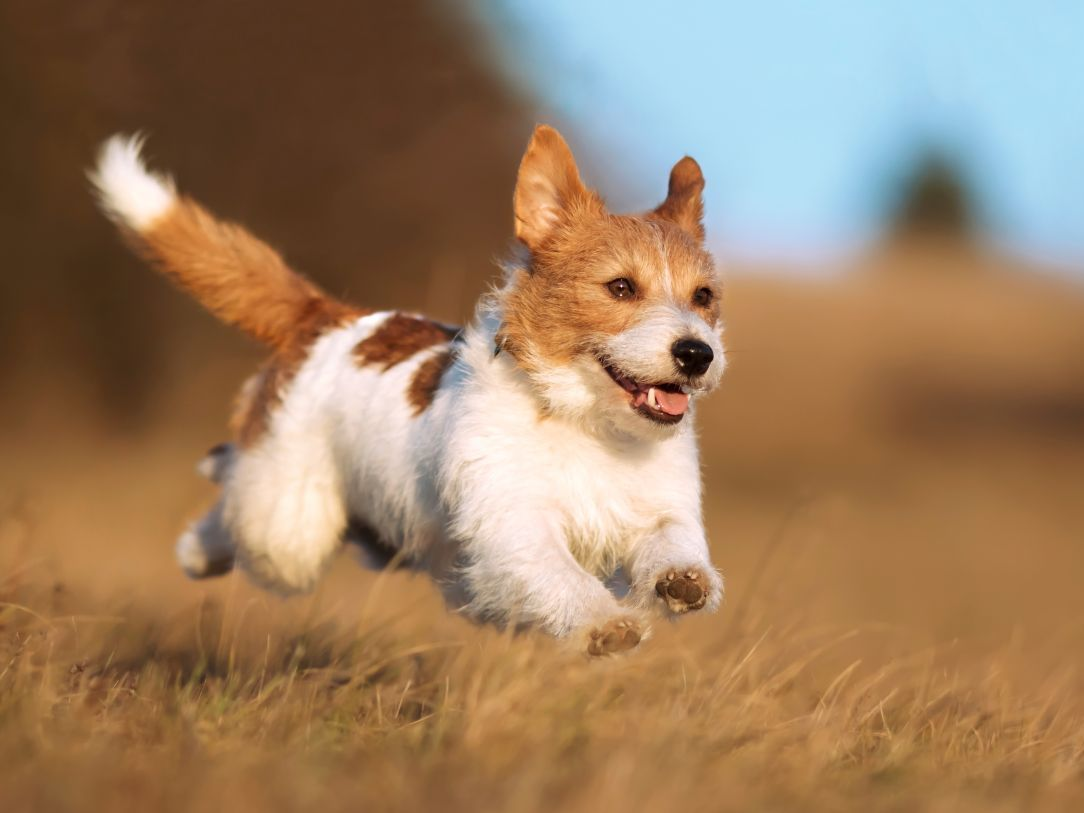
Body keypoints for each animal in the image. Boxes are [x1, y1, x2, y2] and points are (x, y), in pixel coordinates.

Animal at [88, 125, 724, 654]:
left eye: (704, 296)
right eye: (620, 287)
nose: (697, 354)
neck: (587, 423)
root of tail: (327, 315)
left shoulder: (658, 507)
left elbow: (671, 540)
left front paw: (681, 580)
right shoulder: (515, 526)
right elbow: (557, 572)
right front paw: (605, 622)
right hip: (288, 530)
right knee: (235, 499)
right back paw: (198, 550)